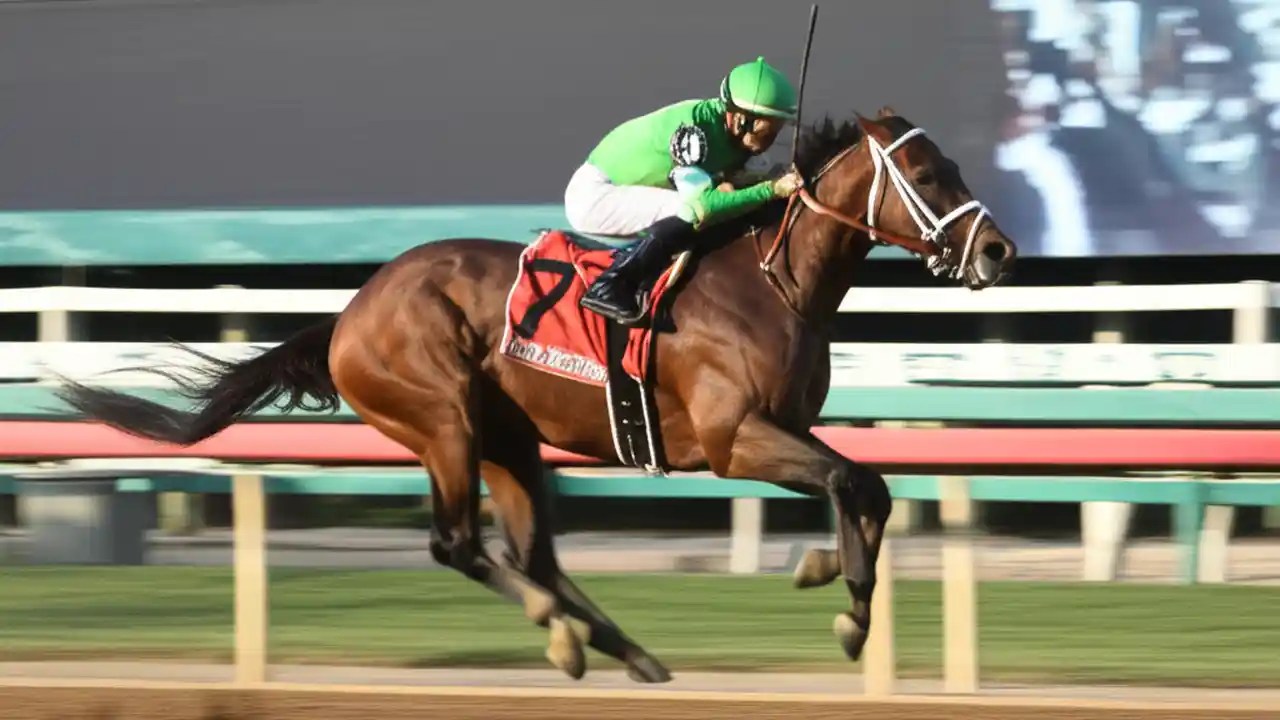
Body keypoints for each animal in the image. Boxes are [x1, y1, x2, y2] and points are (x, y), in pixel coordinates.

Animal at [56, 106, 1017, 684]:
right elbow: (855, 482)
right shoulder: (734, 439)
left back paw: (626, 651)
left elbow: (872, 486)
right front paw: (841, 600)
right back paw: (560, 630)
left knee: (535, 555)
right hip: (441, 418)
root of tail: (349, 313)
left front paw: (838, 588)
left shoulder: (783, 431)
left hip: (509, 440)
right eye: (927, 175)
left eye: (951, 164)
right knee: (458, 545)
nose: (998, 252)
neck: (769, 284)